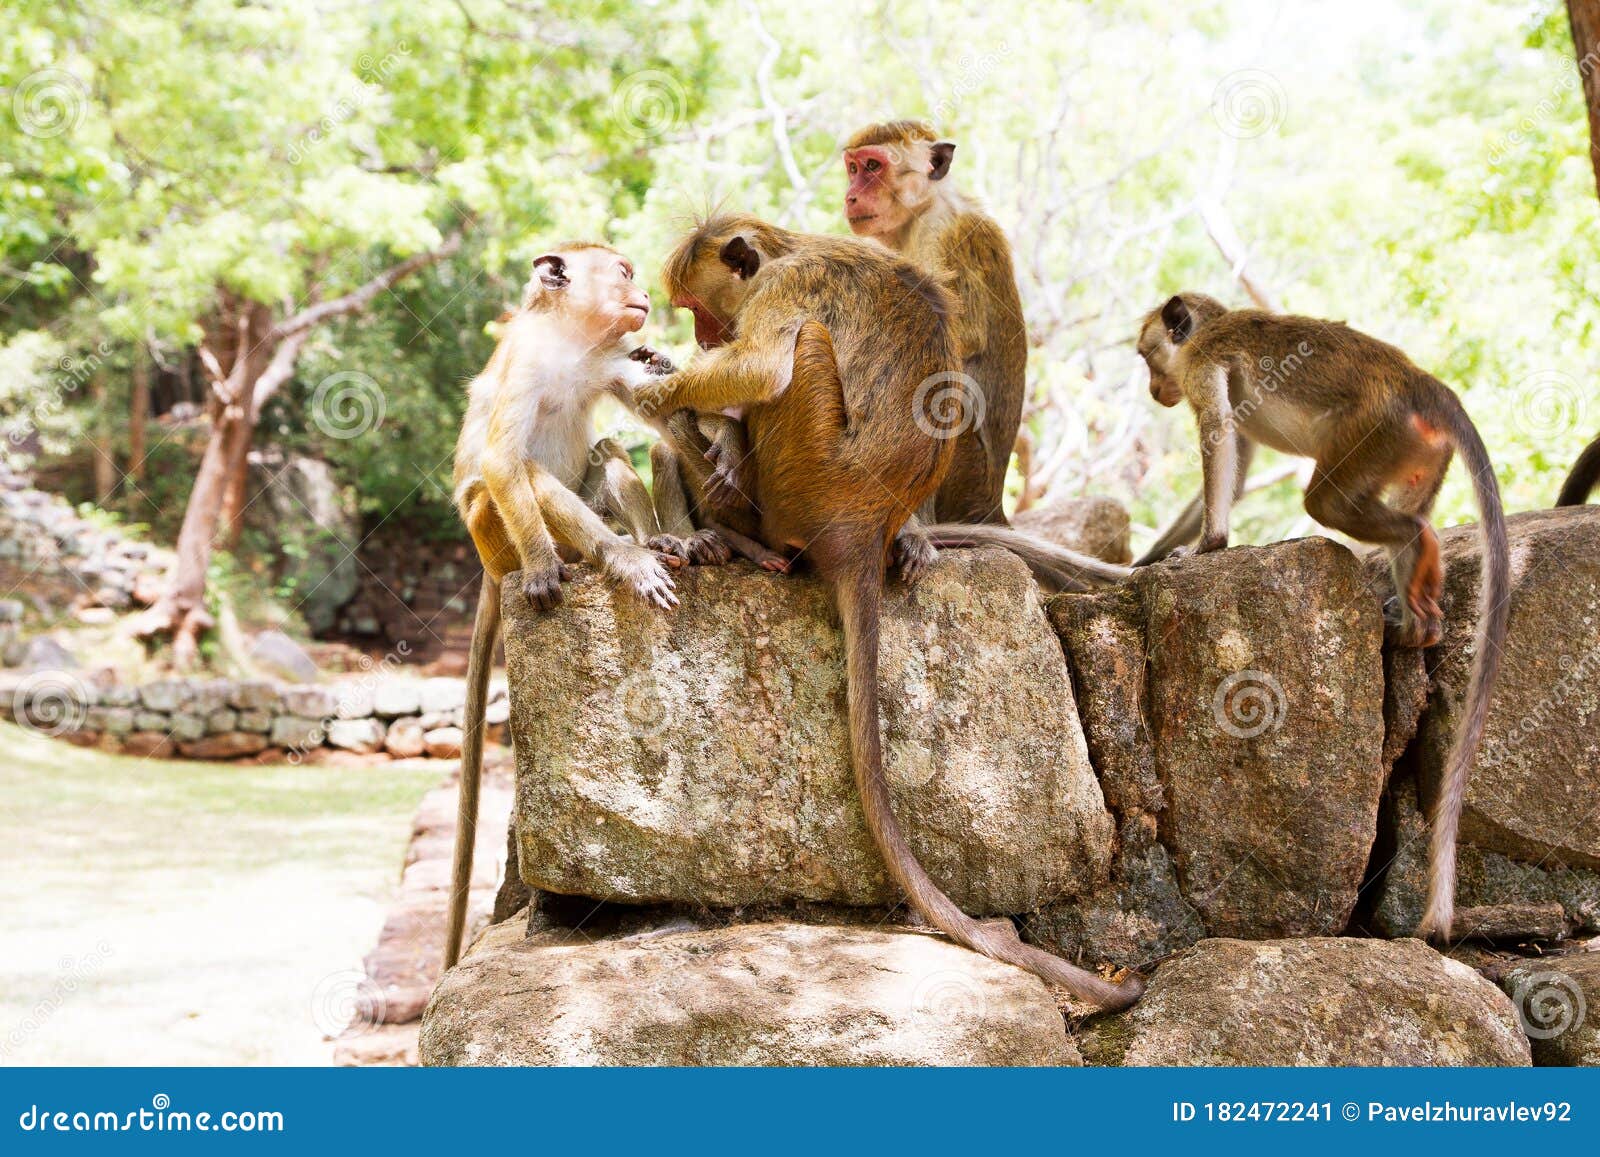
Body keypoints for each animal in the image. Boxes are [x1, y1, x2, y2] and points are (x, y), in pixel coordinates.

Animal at [444, 242, 686, 969]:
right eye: (624, 273)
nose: (642, 294)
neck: (569, 340)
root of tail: (489, 569)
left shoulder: (605, 358)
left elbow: (651, 410)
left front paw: (661, 360)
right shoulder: (526, 358)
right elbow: (505, 462)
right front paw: (555, 567)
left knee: (604, 455)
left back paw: (652, 540)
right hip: (493, 534)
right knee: (523, 475)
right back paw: (602, 559)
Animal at [632, 214, 1145, 1011]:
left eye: (697, 307)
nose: (699, 332)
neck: (787, 248)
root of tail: (862, 524)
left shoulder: (787, 290)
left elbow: (763, 370)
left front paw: (666, 388)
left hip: (800, 471)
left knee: (802, 353)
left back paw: (739, 525)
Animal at [1136, 292, 1510, 941]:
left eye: (1147, 357)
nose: (1156, 389)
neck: (1211, 325)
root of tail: (1418, 381)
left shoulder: (1205, 363)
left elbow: (1220, 434)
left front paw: (1208, 545)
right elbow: (1238, 454)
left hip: (1374, 432)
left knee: (1329, 502)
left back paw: (1418, 550)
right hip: (1419, 451)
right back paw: (1420, 620)